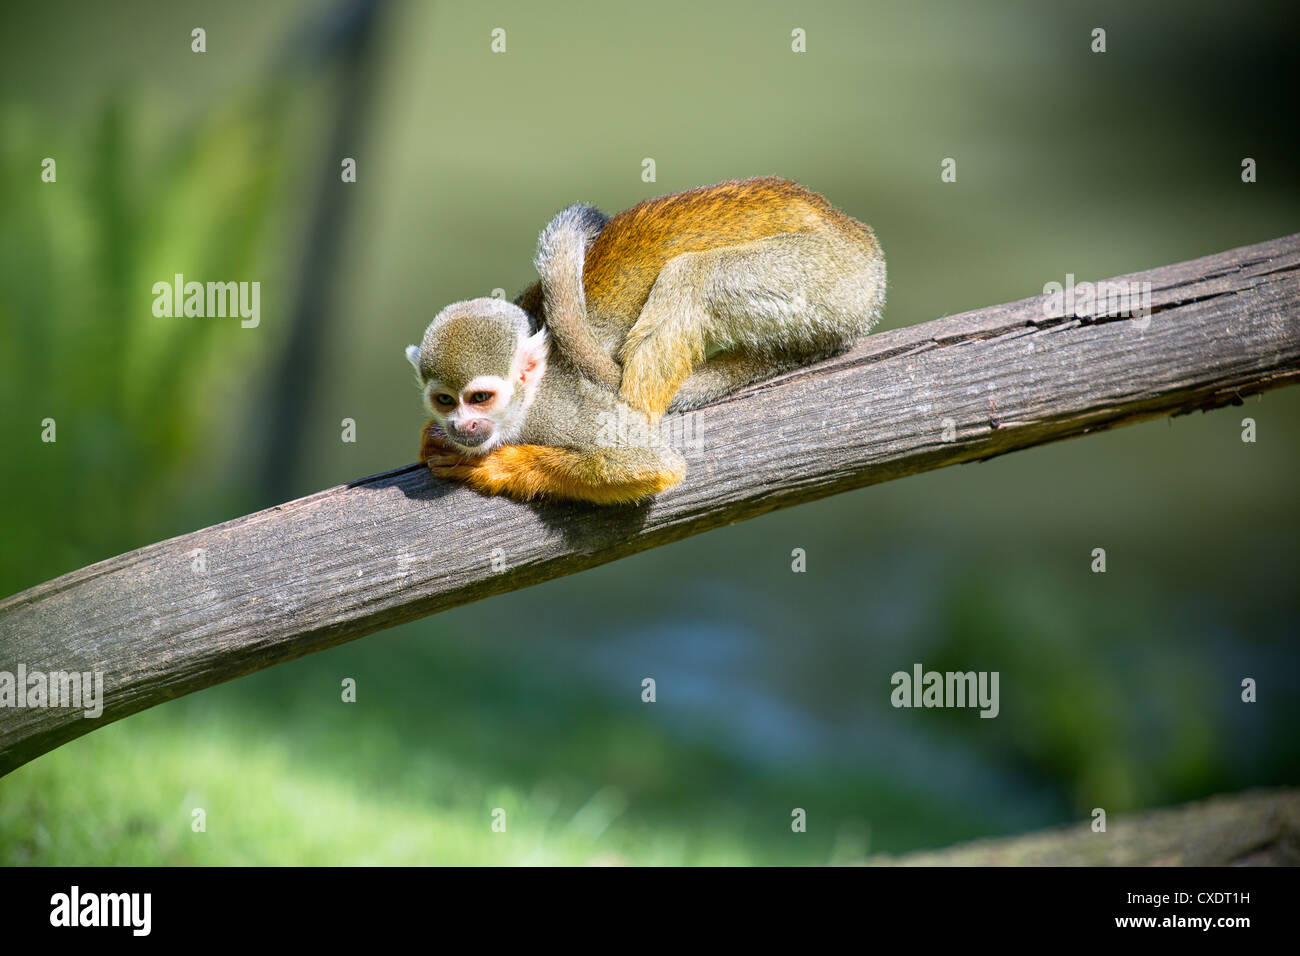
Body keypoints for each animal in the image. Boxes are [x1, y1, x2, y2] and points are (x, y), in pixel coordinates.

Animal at [406, 177, 885, 505]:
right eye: (445, 401)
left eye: (480, 398)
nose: (462, 425)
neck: (527, 399)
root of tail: (859, 238)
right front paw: (436, 437)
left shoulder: (558, 408)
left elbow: (650, 465)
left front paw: (495, 467)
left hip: (823, 272)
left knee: (694, 276)